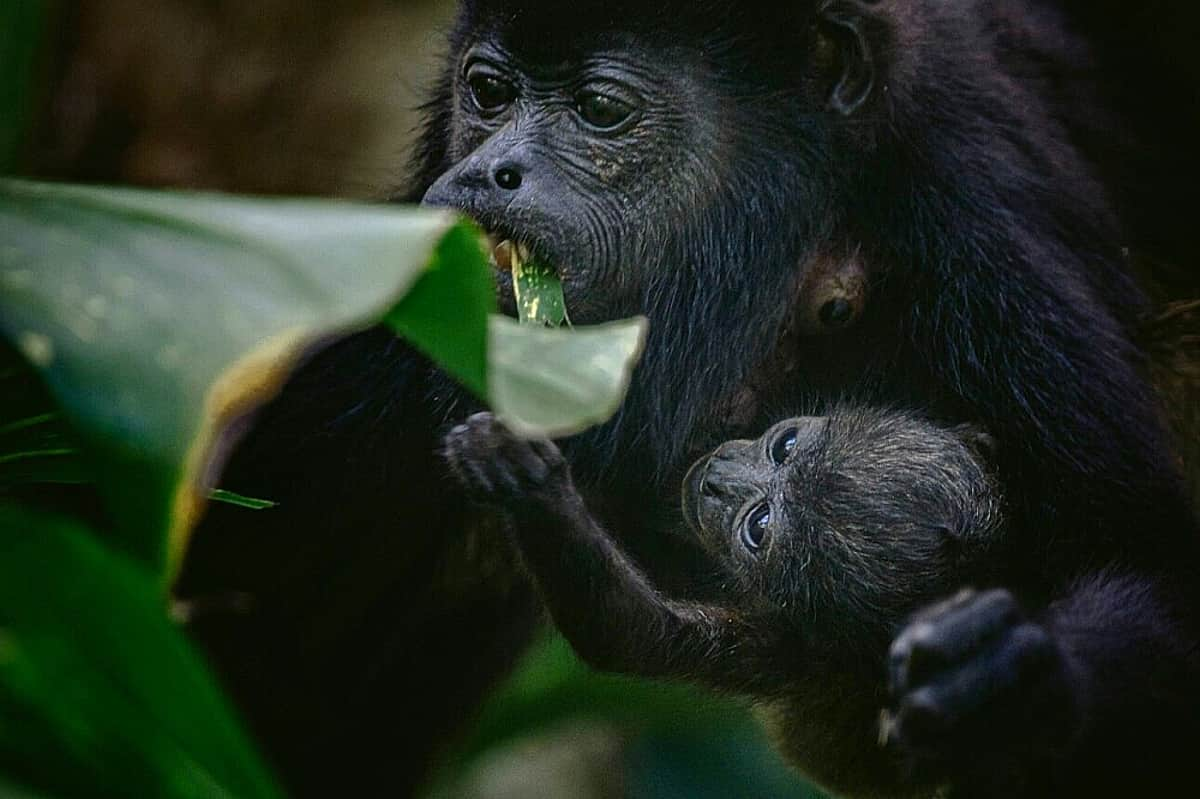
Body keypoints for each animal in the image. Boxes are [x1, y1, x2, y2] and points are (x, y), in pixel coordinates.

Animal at [446, 407, 1094, 791]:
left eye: (757, 527)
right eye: (784, 445)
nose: (715, 480)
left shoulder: (796, 651)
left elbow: (629, 631)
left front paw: (532, 485)